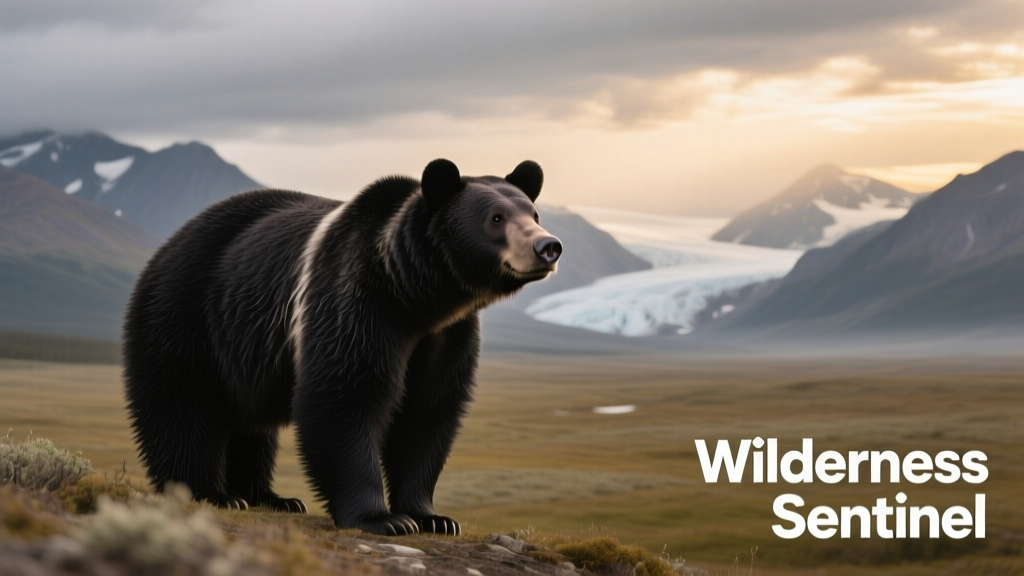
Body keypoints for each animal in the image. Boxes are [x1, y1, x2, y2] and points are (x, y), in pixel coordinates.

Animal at [122, 159, 561, 536]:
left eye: (533, 214)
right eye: (496, 218)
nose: (548, 246)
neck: (417, 295)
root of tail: (170, 241)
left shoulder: (447, 335)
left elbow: (429, 410)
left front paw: (433, 517)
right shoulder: (357, 301)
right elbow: (346, 395)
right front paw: (383, 519)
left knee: (253, 425)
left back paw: (271, 497)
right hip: (188, 311)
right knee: (182, 401)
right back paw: (212, 493)